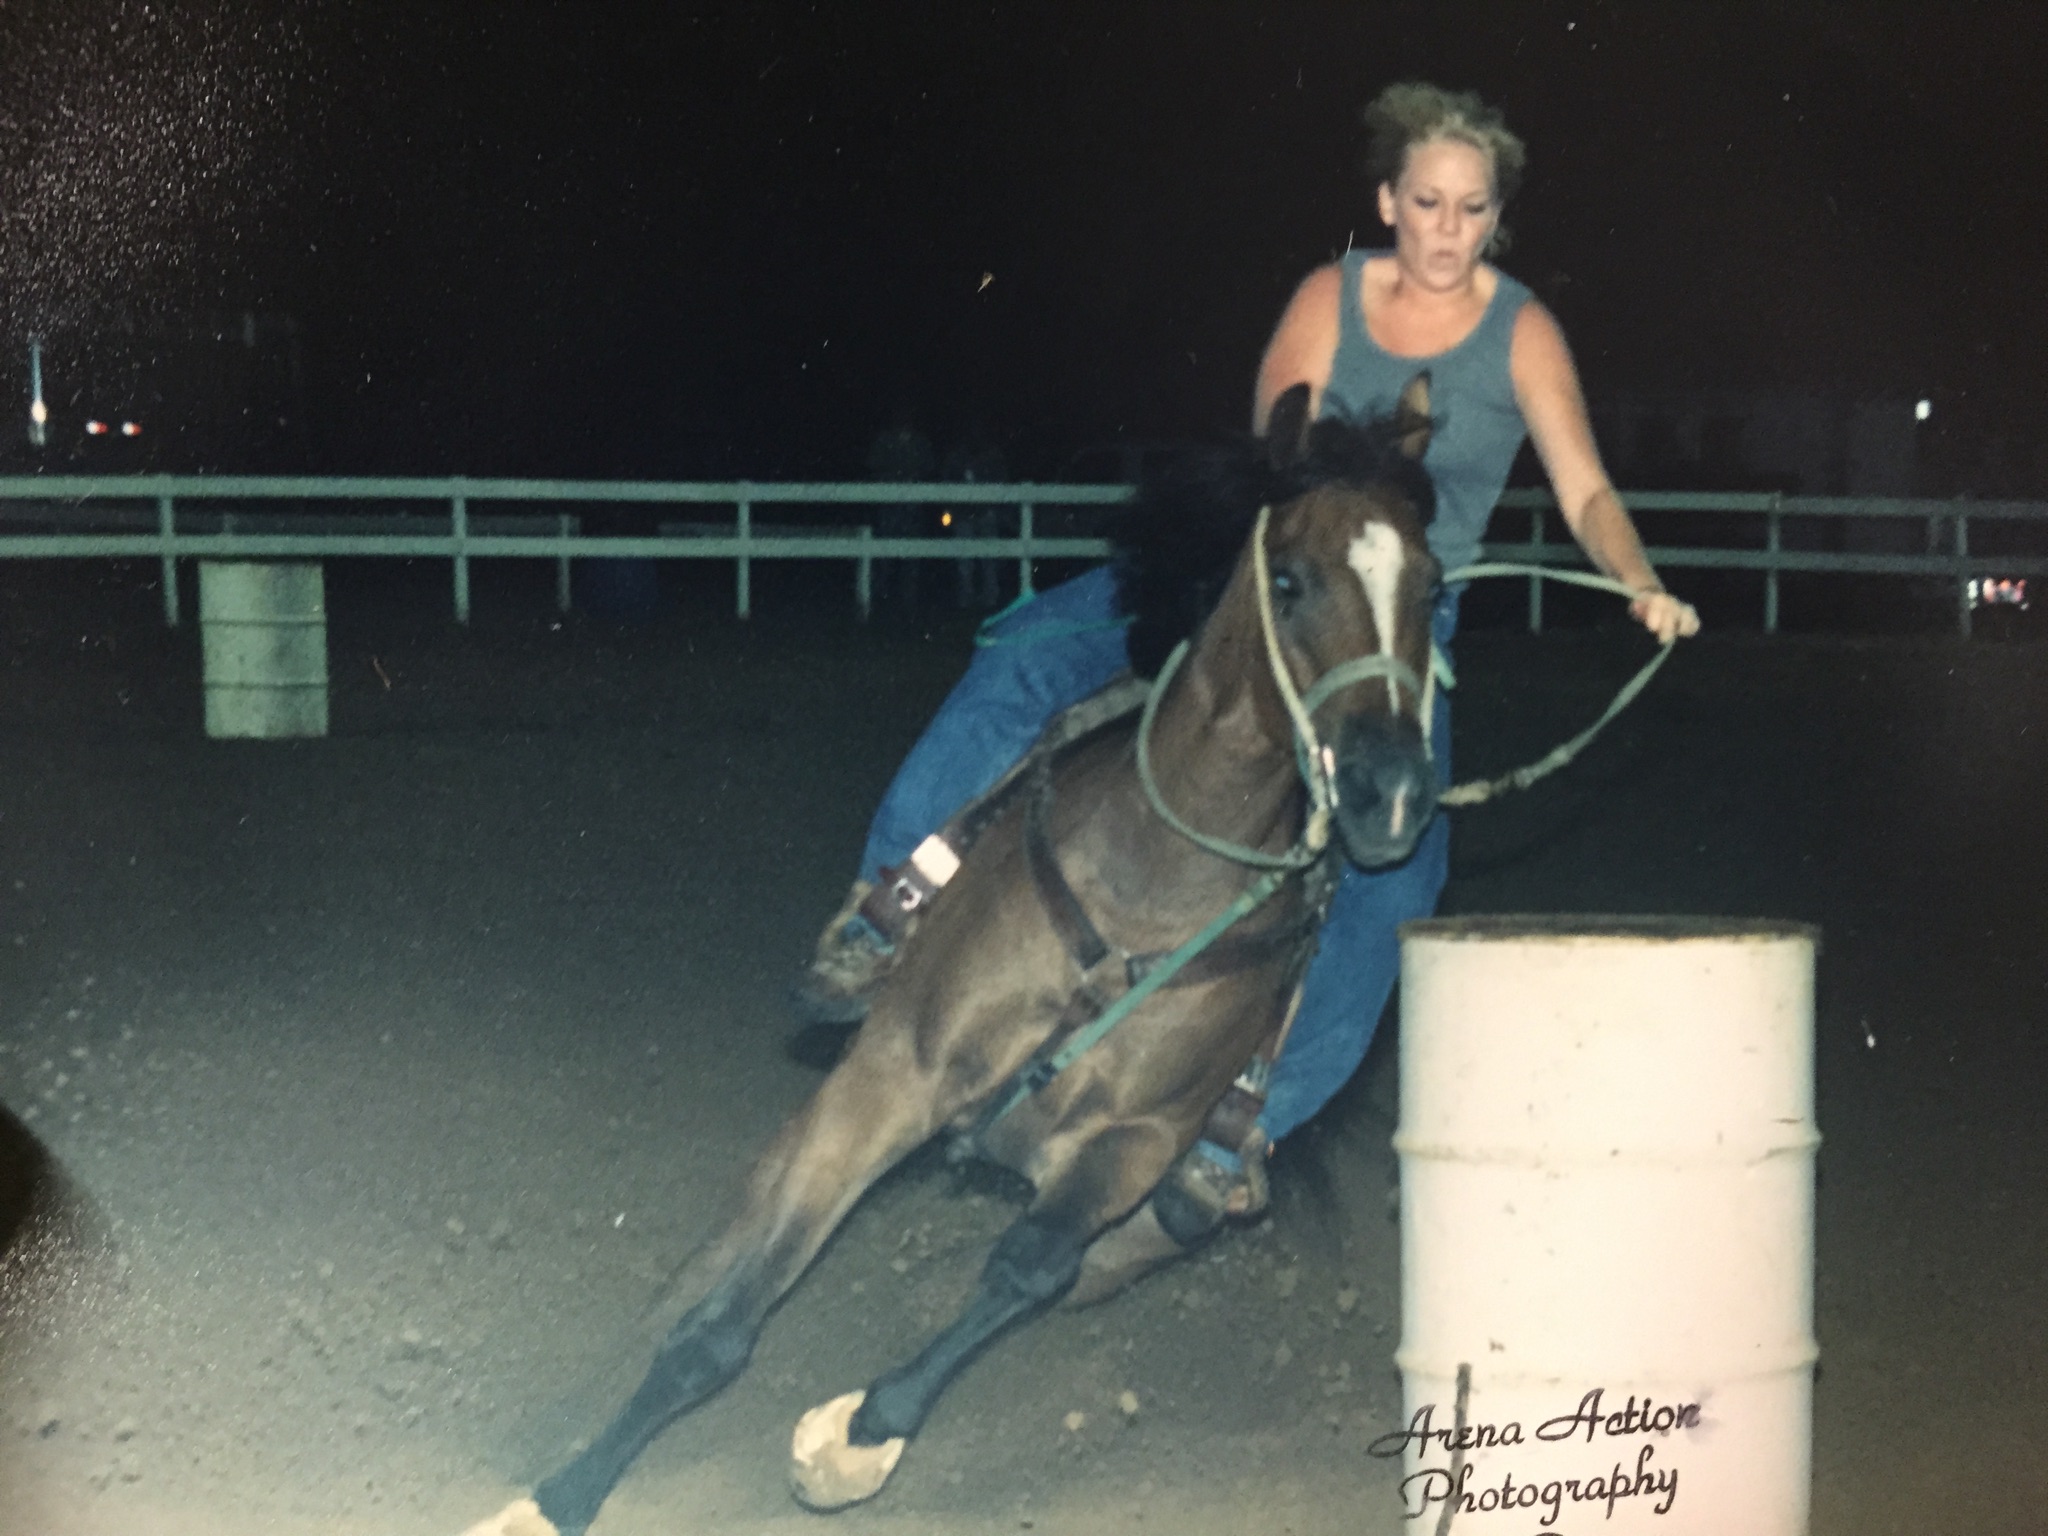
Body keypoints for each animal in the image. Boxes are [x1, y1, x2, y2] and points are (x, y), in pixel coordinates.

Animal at [462, 376, 1444, 1536]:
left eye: (1433, 589)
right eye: (1287, 579)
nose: (1389, 790)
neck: (1147, 888)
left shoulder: (1136, 1143)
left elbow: (1023, 1273)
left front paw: (856, 1436)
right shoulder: (890, 1081)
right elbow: (721, 1328)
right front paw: (560, 1495)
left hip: (1161, 1217)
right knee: (727, 1241)